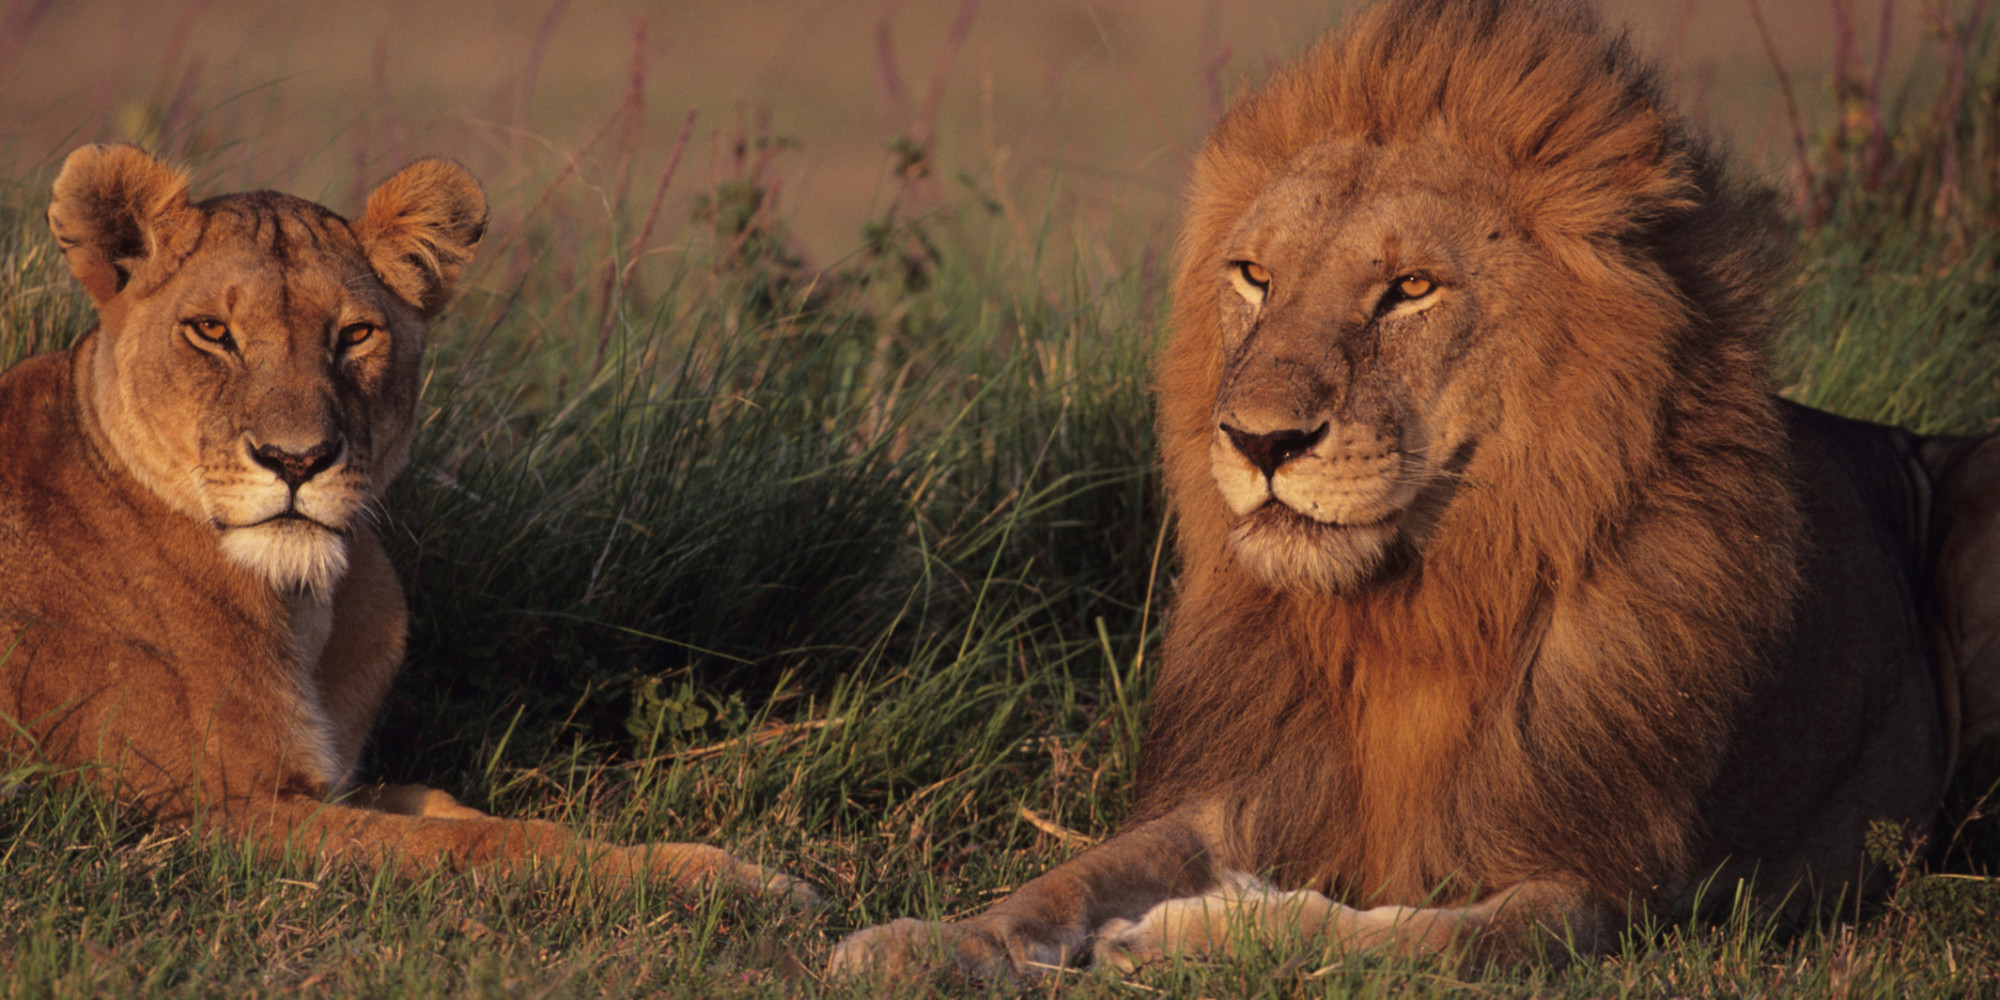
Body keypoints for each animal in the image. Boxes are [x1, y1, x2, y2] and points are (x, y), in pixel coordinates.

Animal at [0, 144, 811, 904]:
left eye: (356, 335)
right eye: (210, 331)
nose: (297, 460)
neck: (306, 607)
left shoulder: (325, 785)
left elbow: (452, 805)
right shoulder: (207, 817)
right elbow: (494, 843)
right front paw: (728, 878)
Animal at [830, 0, 2000, 977]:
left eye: (1410, 289)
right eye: (1254, 275)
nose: (1258, 439)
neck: (1411, 608)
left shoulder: (1604, 886)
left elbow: (1415, 937)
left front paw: (1188, 932)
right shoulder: (1236, 789)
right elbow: (1065, 876)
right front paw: (926, 941)